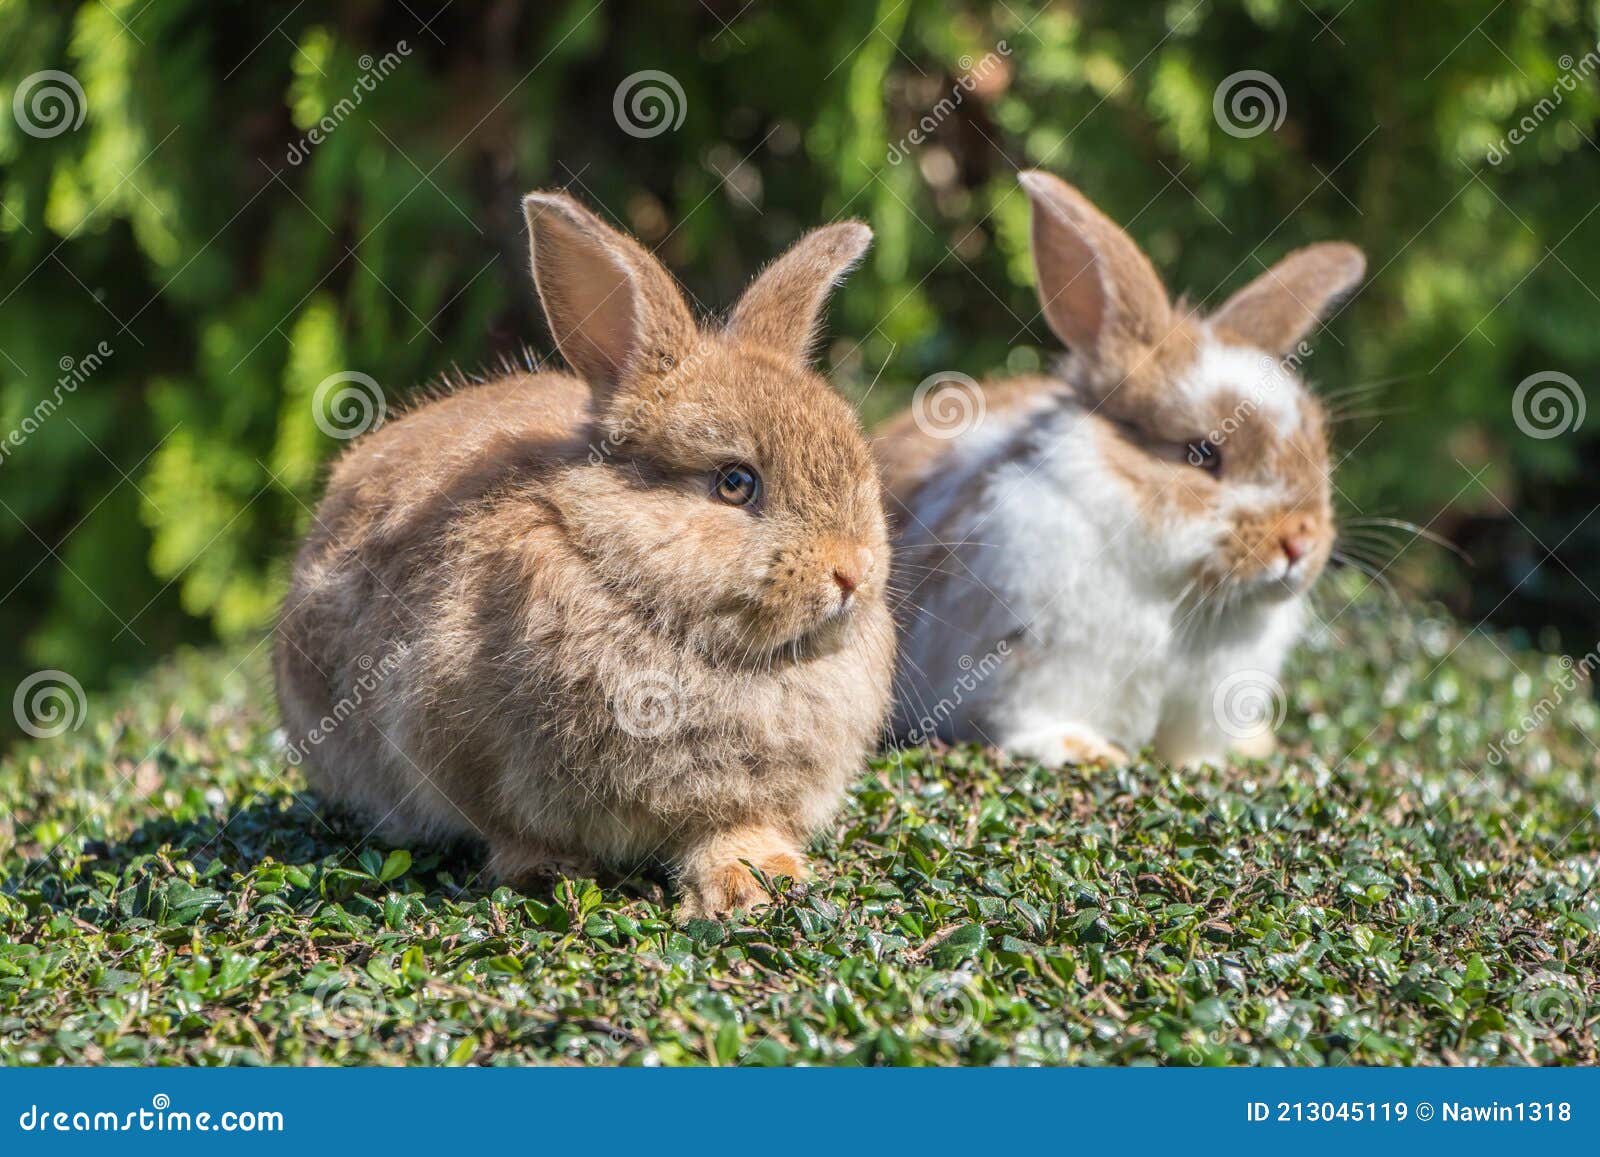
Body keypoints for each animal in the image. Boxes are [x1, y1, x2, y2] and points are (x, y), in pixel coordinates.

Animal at [274, 191, 894, 919]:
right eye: (735, 482)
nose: (852, 570)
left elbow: (733, 829)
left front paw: (754, 881)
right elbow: (513, 832)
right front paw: (550, 873)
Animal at [878, 170, 1364, 767]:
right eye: (1203, 453)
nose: (1300, 541)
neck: (1180, 590)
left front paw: (1210, 763)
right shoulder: (1024, 666)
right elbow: (1022, 721)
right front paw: (1088, 750)